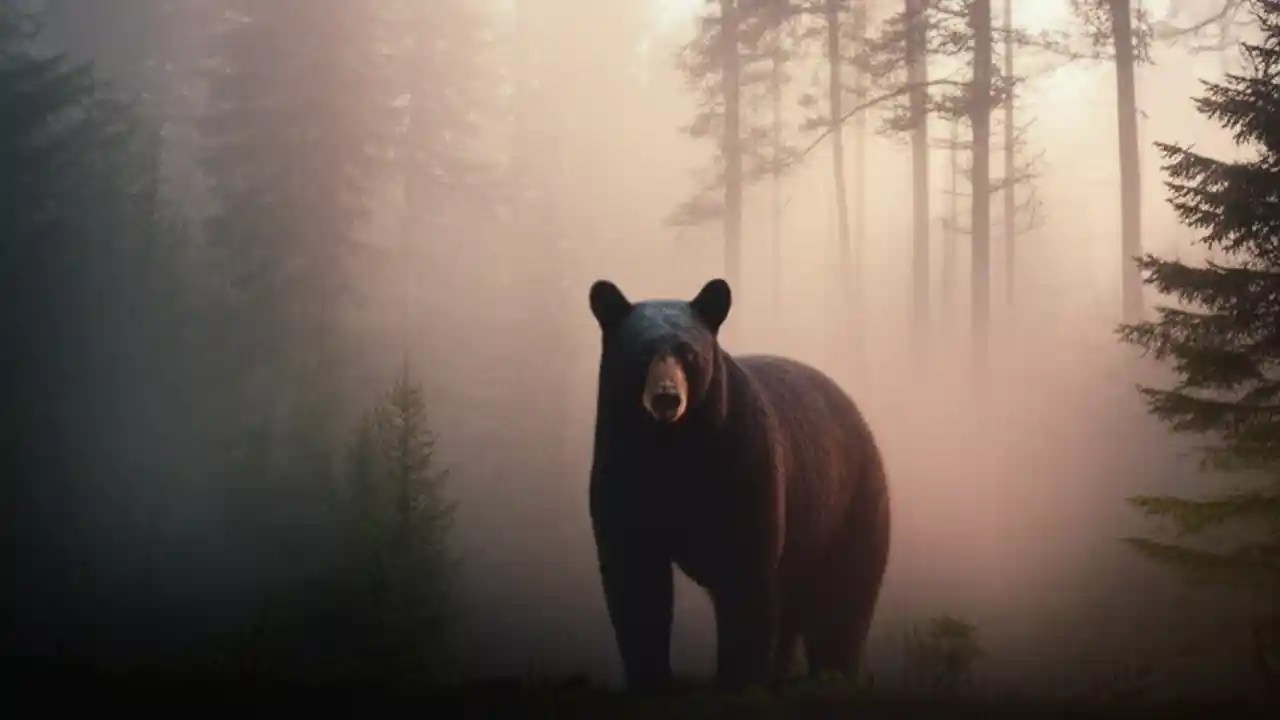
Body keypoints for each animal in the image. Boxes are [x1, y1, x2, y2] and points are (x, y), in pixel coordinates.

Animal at [587, 277, 891, 692]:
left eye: (688, 353)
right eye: (642, 352)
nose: (667, 397)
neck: (671, 448)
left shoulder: (743, 465)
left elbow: (746, 572)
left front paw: (741, 678)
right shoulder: (622, 467)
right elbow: (634, 572)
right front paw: (650, 678)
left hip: (848, 505)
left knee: (843, 600)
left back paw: (832, 675)